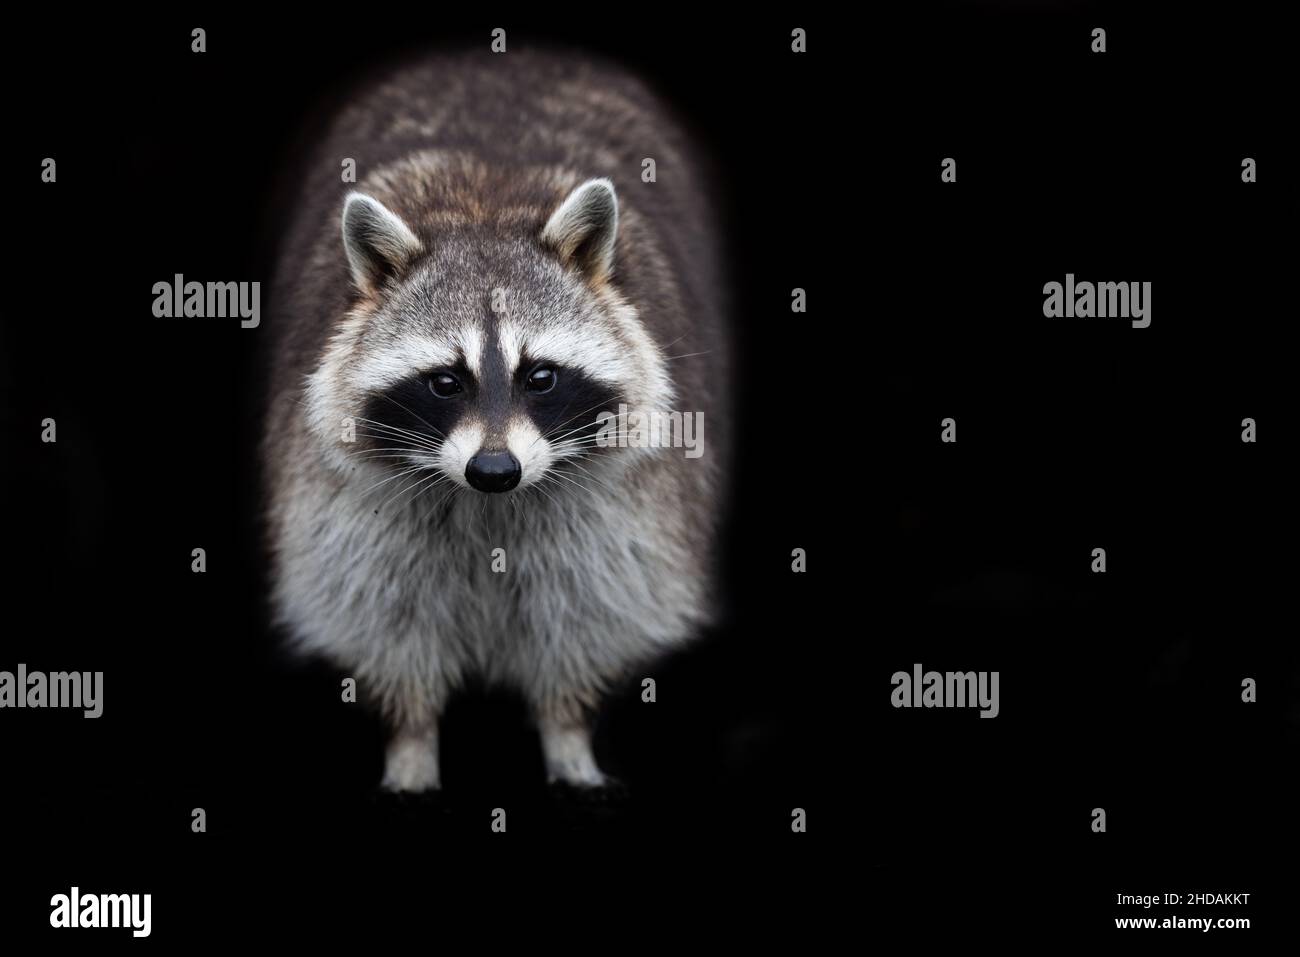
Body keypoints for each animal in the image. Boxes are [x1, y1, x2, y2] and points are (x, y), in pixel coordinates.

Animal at [263, 50, 729, 791]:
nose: (493, 470)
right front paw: (411, 743)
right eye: (445, 382)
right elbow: (379, 611)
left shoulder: (623, 510)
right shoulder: (348, 505)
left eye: (540, 377)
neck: (484, 206)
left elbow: (595, 605)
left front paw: (568, 737)